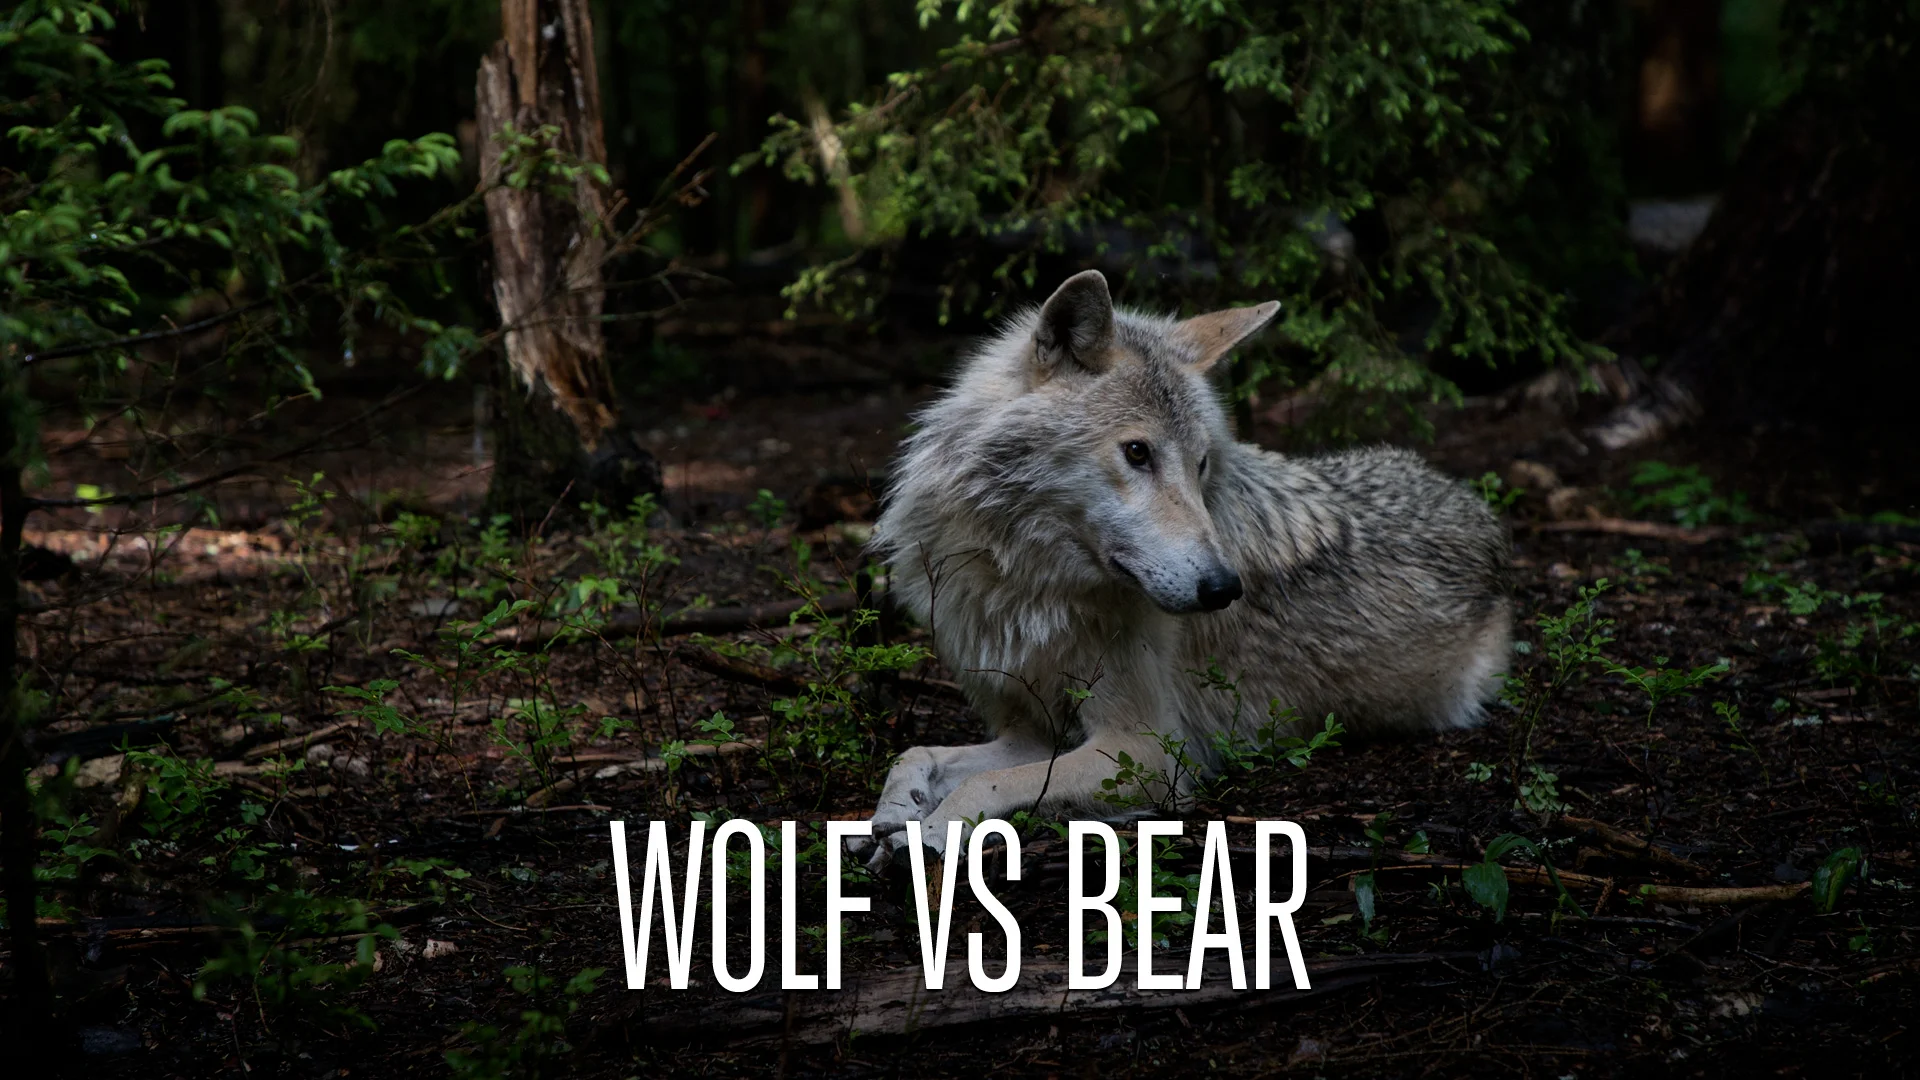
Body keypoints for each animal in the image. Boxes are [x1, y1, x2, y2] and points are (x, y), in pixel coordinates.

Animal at [855, 270, 1510, 866]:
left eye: (1200, 464)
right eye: (1137, 452)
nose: (1223, 588)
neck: (1029, 579)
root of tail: (1476, 508)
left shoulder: (1148, 753)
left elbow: (988, 784)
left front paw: (931, 831)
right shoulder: (1028, 732)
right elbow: (914, 755)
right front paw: (889, 817)